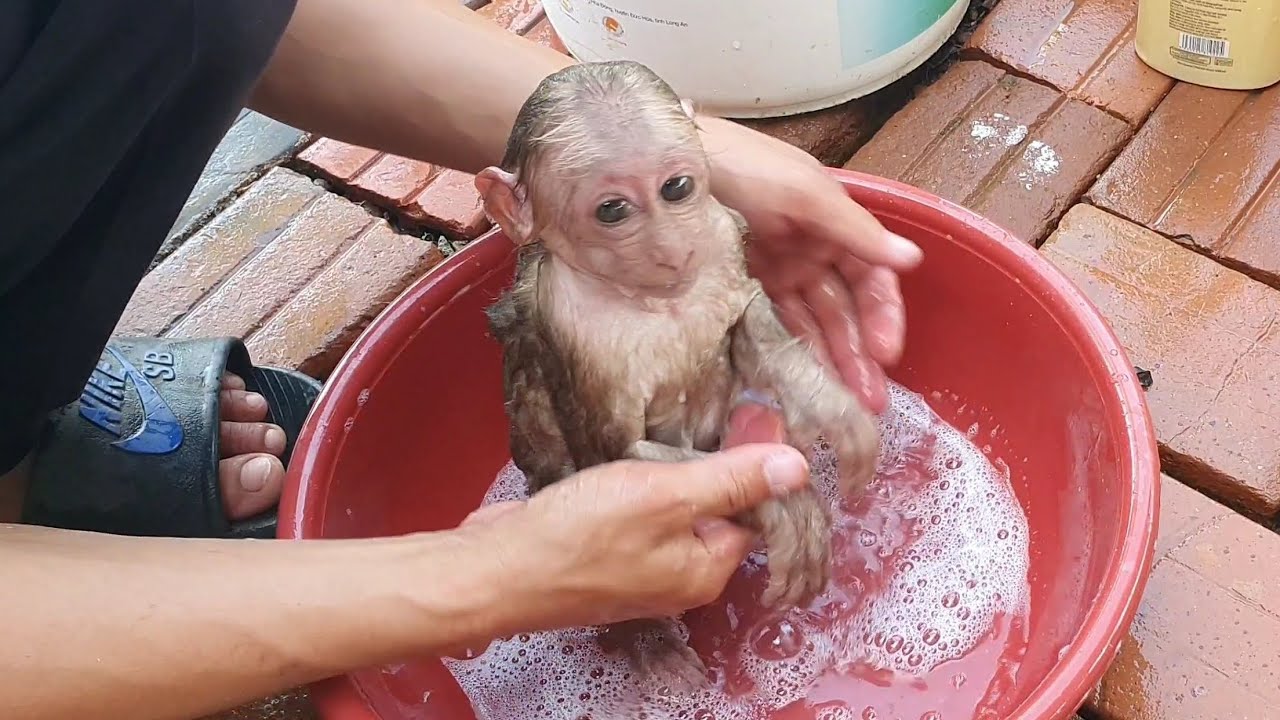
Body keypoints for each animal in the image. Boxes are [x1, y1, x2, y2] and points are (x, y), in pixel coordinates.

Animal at [475, 60, 881, 691]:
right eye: (612, 210)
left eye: (675, 188)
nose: (669, 249)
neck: (649, 299)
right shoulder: (576, 327)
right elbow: (619, 452)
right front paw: (782, 500)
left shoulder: (716, 233)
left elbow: (746, 319)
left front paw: (826, 403)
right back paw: (647, 637)